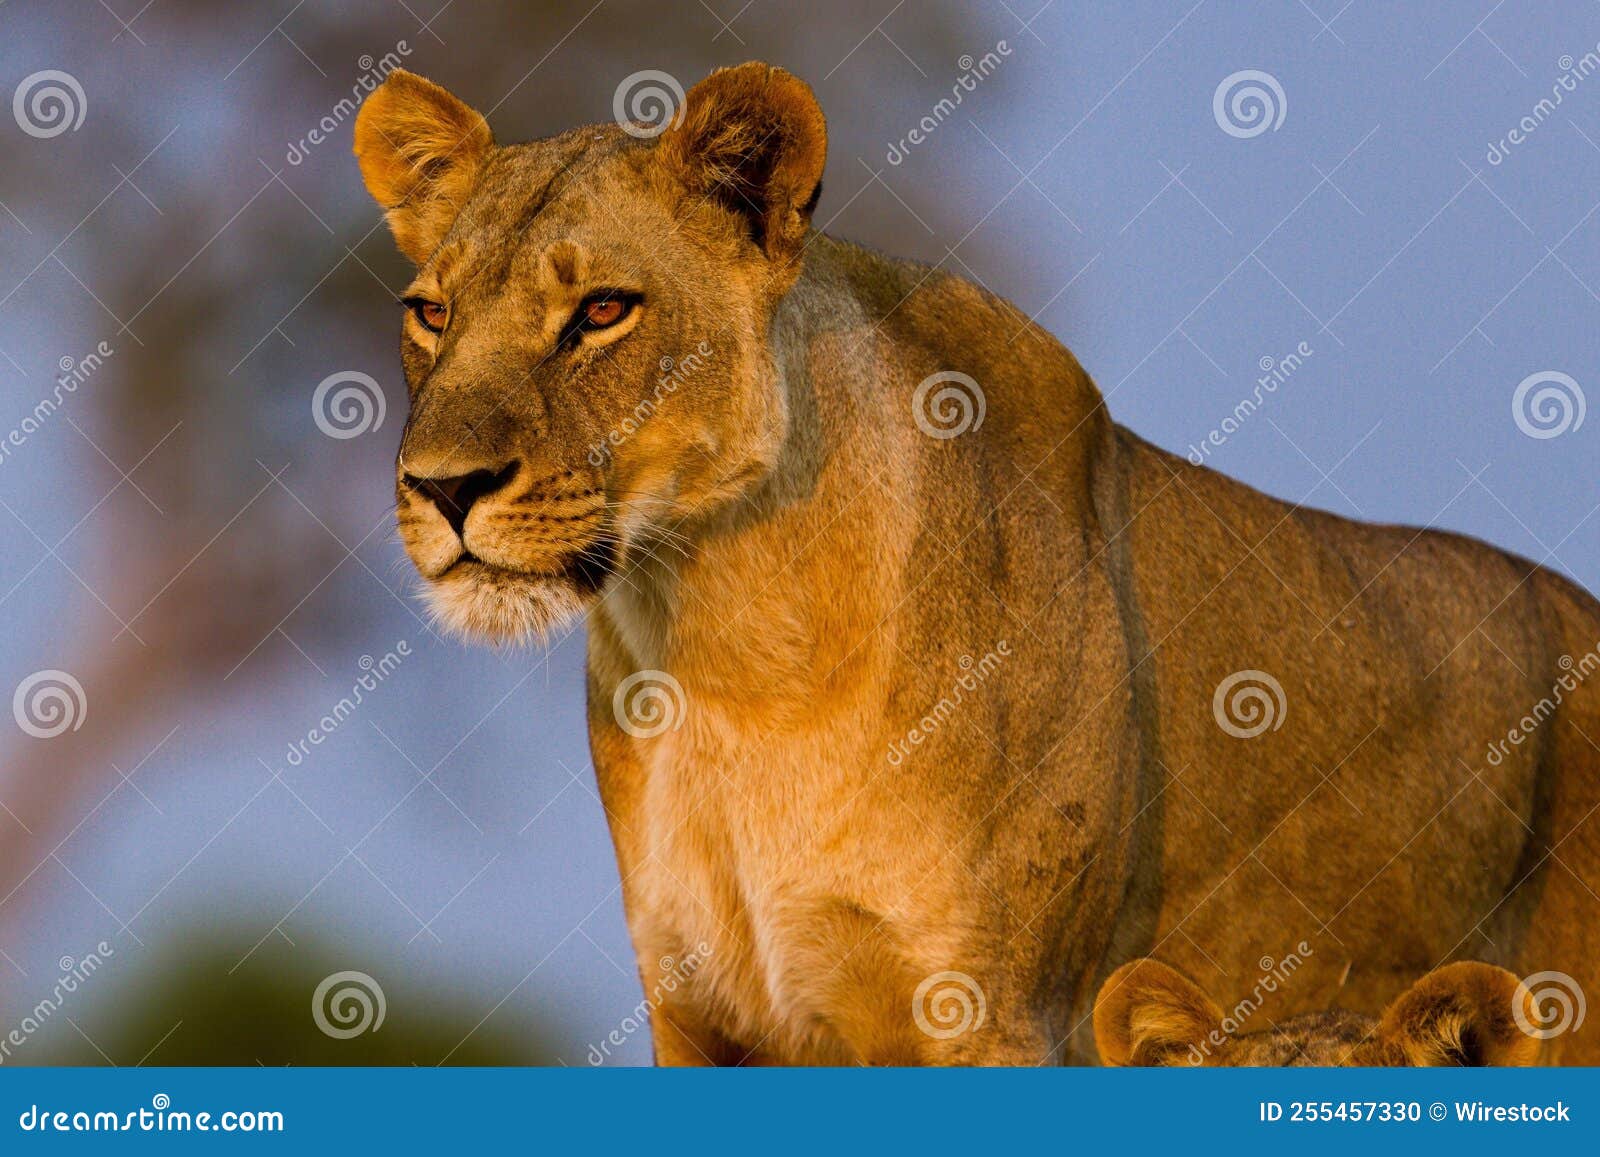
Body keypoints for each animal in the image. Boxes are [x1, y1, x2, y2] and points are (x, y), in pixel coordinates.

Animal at [353, 62, 1600, 1065]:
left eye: (604, 310)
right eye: (430, 311)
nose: (442, 488)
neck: (720, 643)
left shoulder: (995, 1011)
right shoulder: (695, 1011)